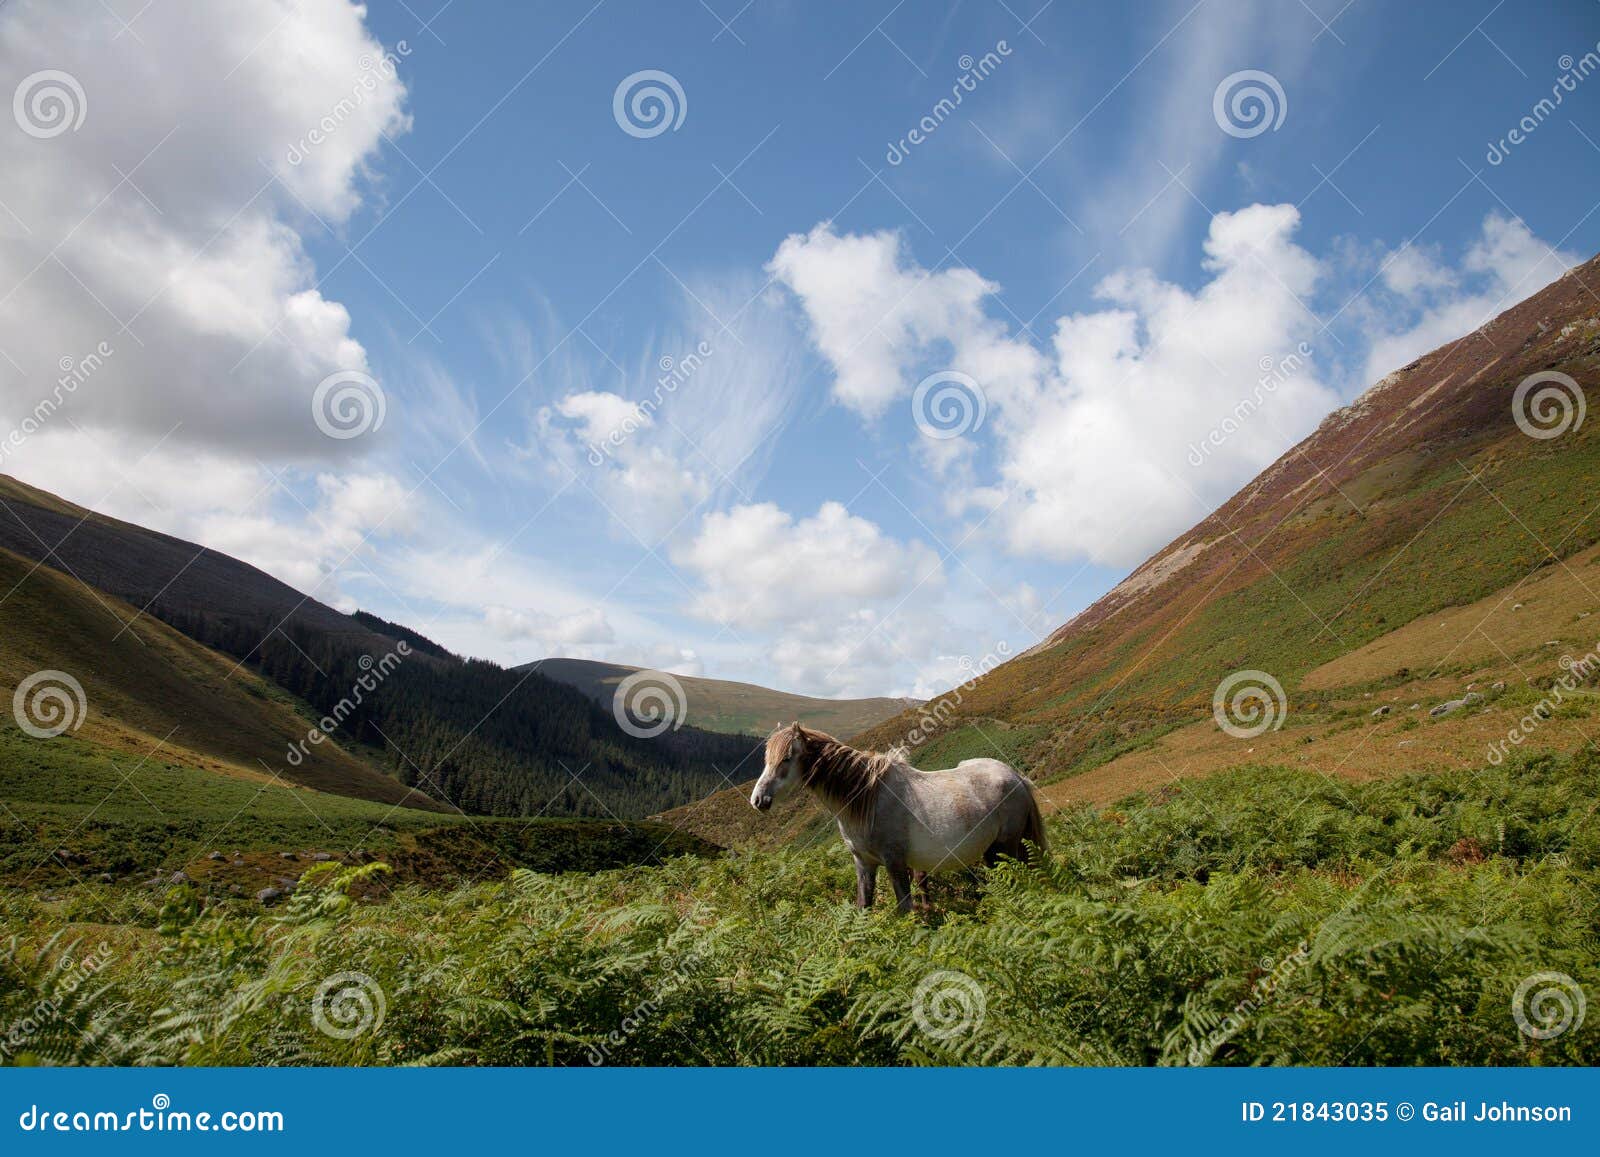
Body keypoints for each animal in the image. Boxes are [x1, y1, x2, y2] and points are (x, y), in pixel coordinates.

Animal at [748, 722, 1048, 914]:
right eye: (766, 758)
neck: (868, 798)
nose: (758, 800)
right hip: (993, 852)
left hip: (1006, 847)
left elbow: (905, 909)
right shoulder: (864, 864)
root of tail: (1015, 776)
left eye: (787, 758)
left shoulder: (895, 862)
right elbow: (863, 908)